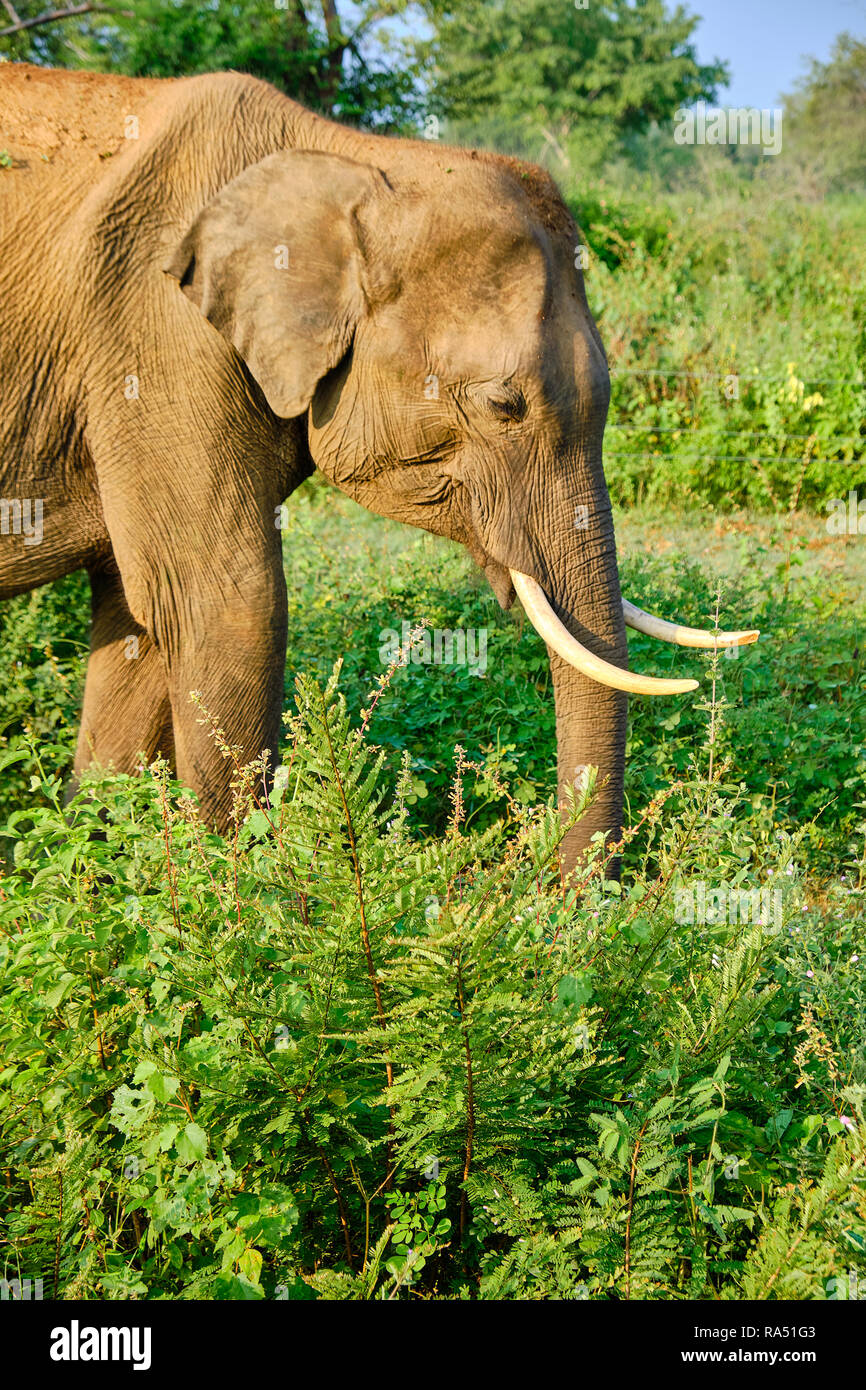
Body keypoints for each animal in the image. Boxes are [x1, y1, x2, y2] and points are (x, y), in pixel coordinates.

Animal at [0, 62, 758, 873]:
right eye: (503, 404)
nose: (564, 894)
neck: (353, 160)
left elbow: (139, 618)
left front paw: (103, 869)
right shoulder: (151, 332)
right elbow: (225, 600)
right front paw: (243, 891)